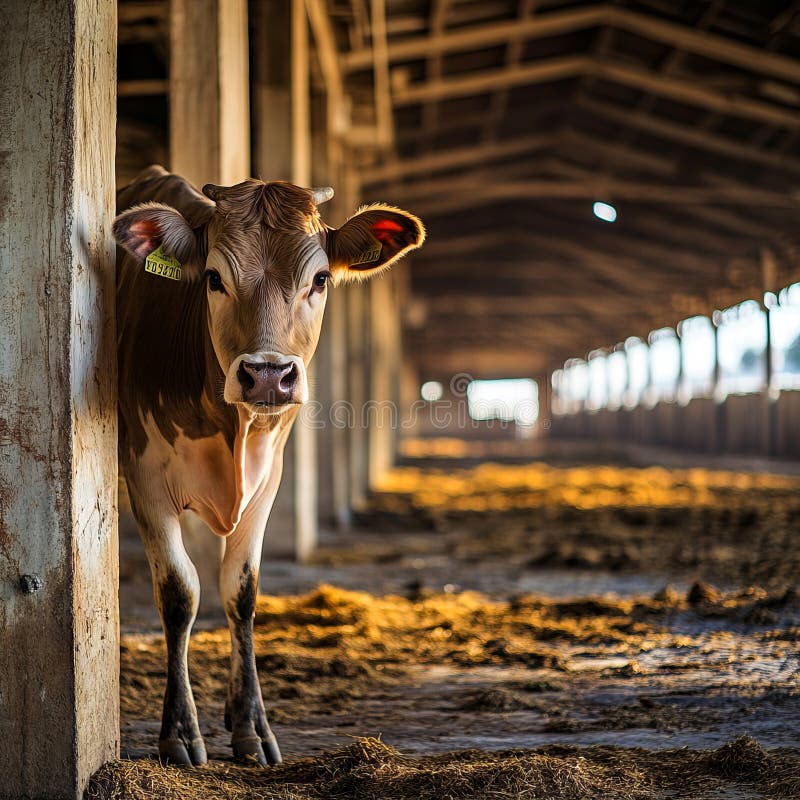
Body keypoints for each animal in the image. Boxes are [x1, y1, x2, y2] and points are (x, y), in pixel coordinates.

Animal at [113, 165, 424, 767]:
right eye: (213, 278)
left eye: (320, 279)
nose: (267, 376)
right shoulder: (146, 480)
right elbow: (180, 593)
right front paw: (180, 732)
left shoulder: (267, 481)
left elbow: (242, 591)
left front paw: (251, 727)